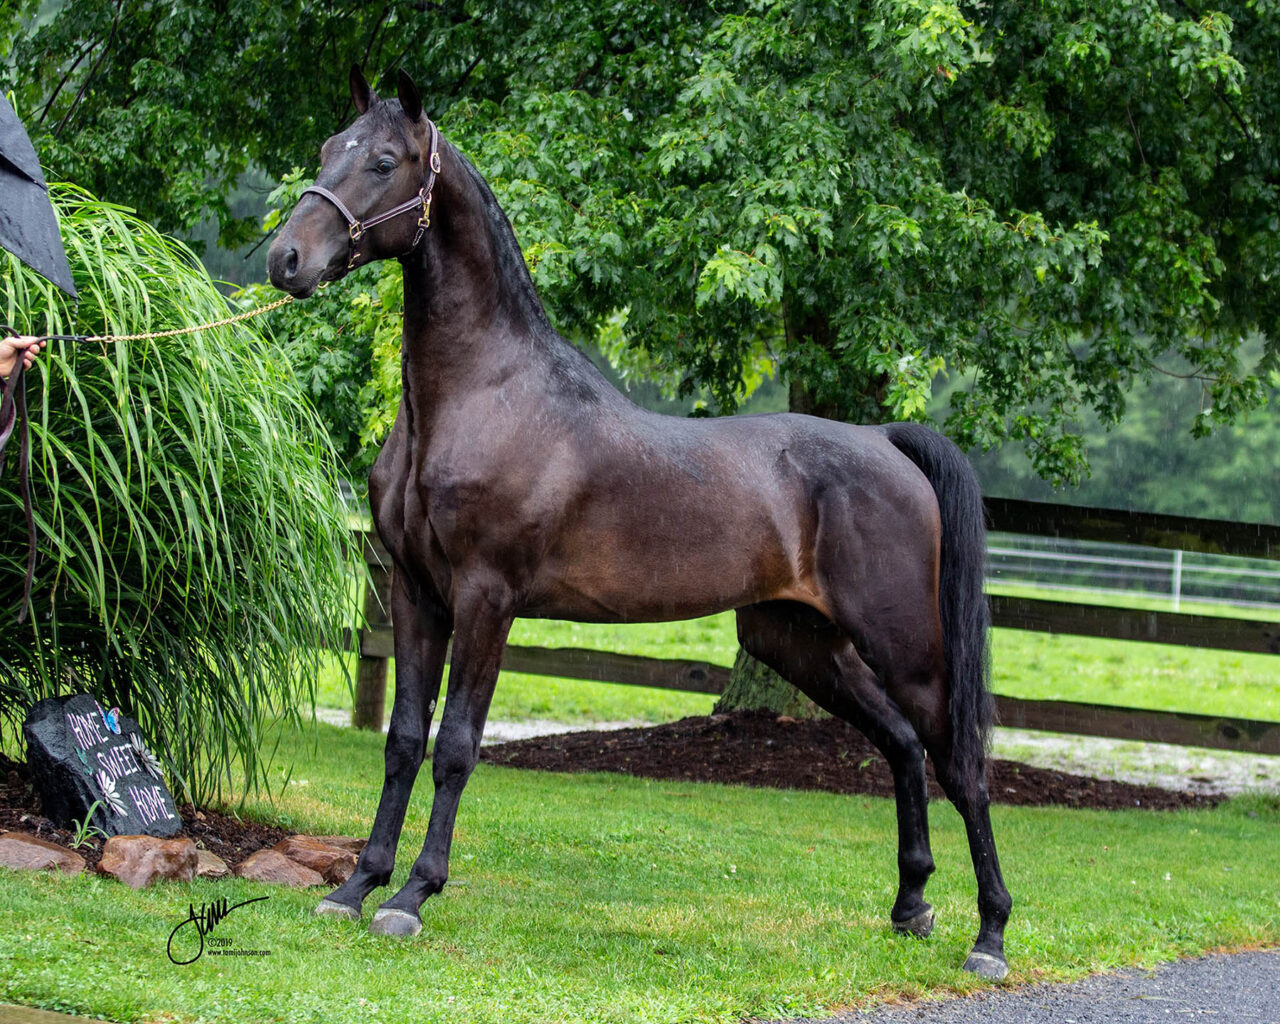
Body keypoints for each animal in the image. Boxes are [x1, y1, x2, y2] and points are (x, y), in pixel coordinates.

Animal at [267, 66, 1012, 981]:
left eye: (382, 160)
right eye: (326, 148)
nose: (286, 259)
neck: (482, 395)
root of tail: (884, 441)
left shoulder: (486, 599)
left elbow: (456, 746)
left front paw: (411, 896)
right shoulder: (414, 592)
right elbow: (405, 739)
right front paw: (355, 886)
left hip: (906, 644)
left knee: (960, 763)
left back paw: (990, 936)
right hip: (799, 643)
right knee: (904, 745)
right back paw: (911, 906)